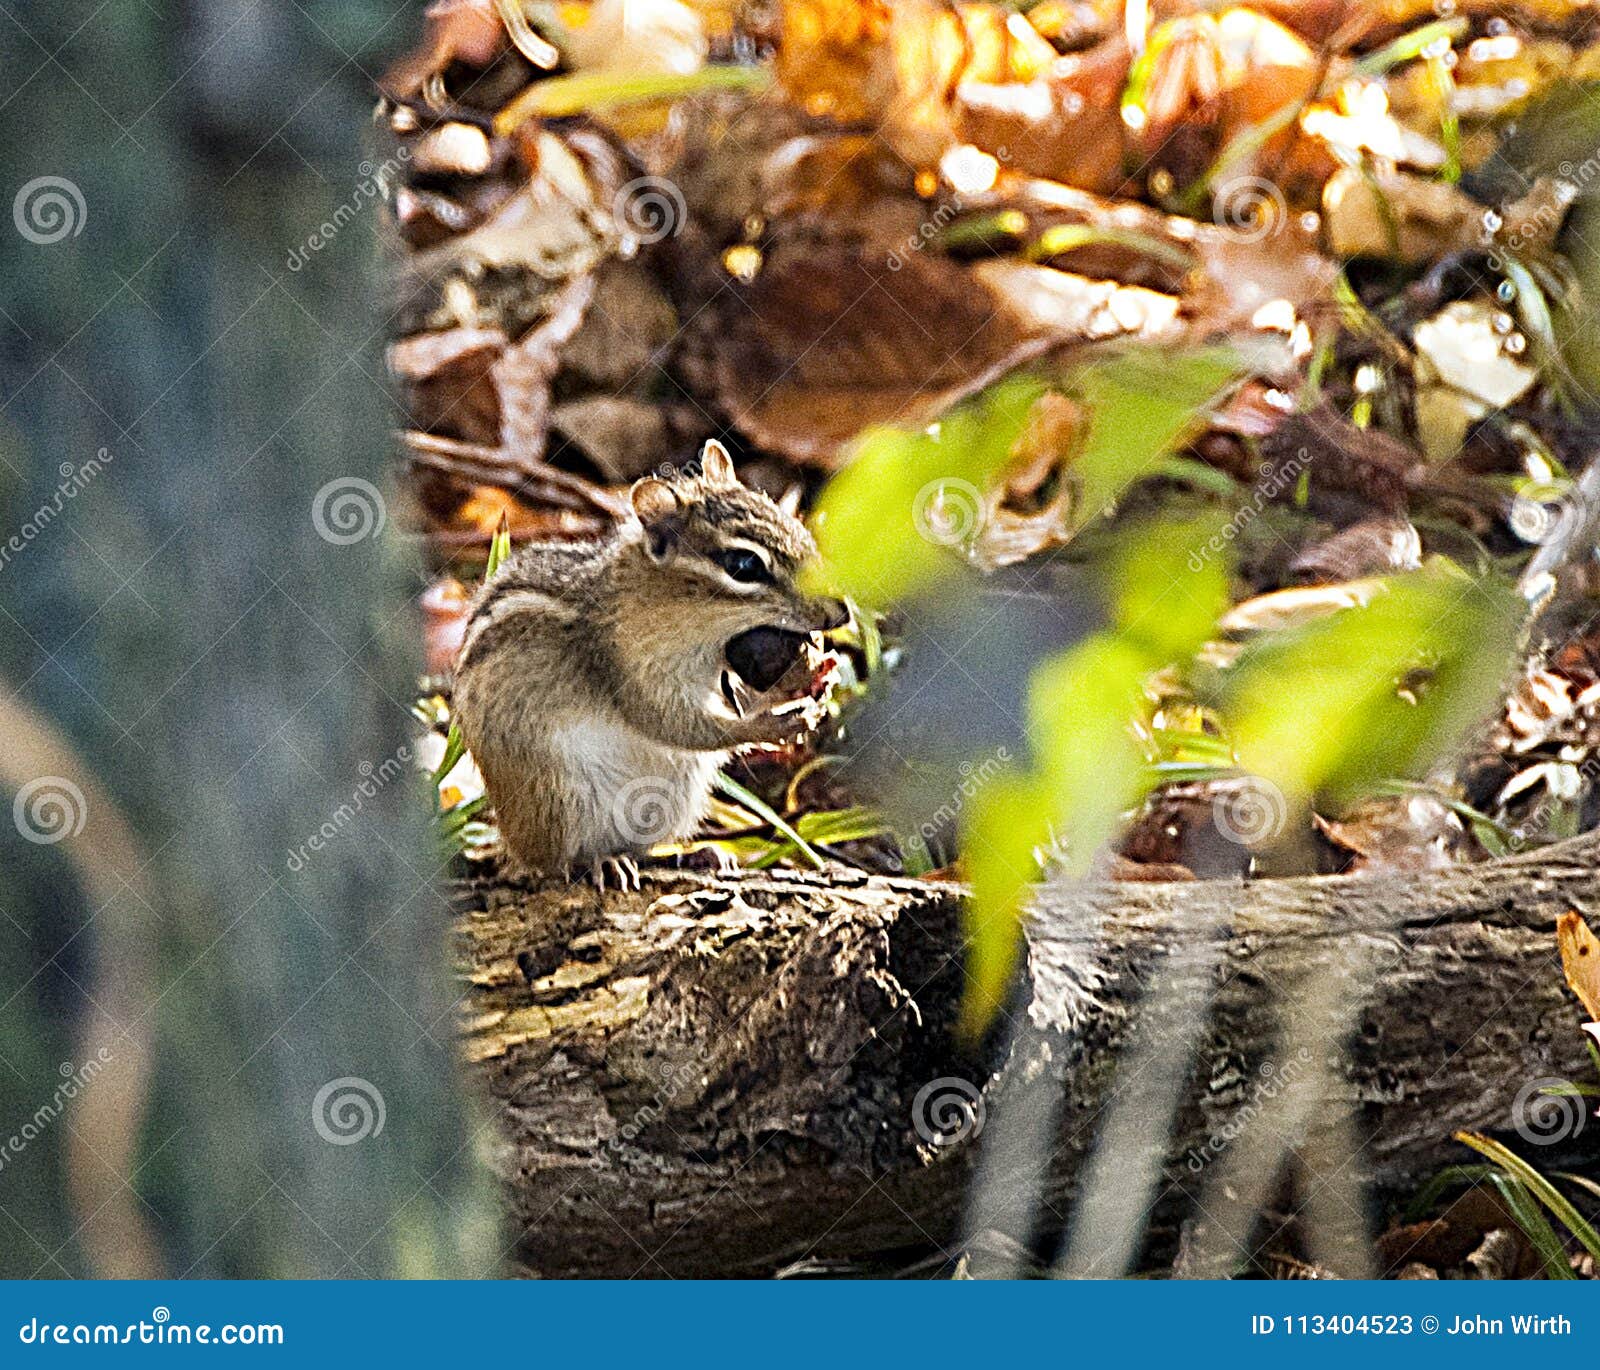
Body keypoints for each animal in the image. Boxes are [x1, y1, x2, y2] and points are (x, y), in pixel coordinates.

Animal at [451, 440, 847, 889]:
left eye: (799, 530)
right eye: (744, 565)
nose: (841, 611)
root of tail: (512, 842)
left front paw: (815, 675)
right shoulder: (626, 667)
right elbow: (673, 724)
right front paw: (770, 725)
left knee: (640, 849)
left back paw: (697, 855)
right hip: (557, 796)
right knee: (556, 863)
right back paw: (601, 862)